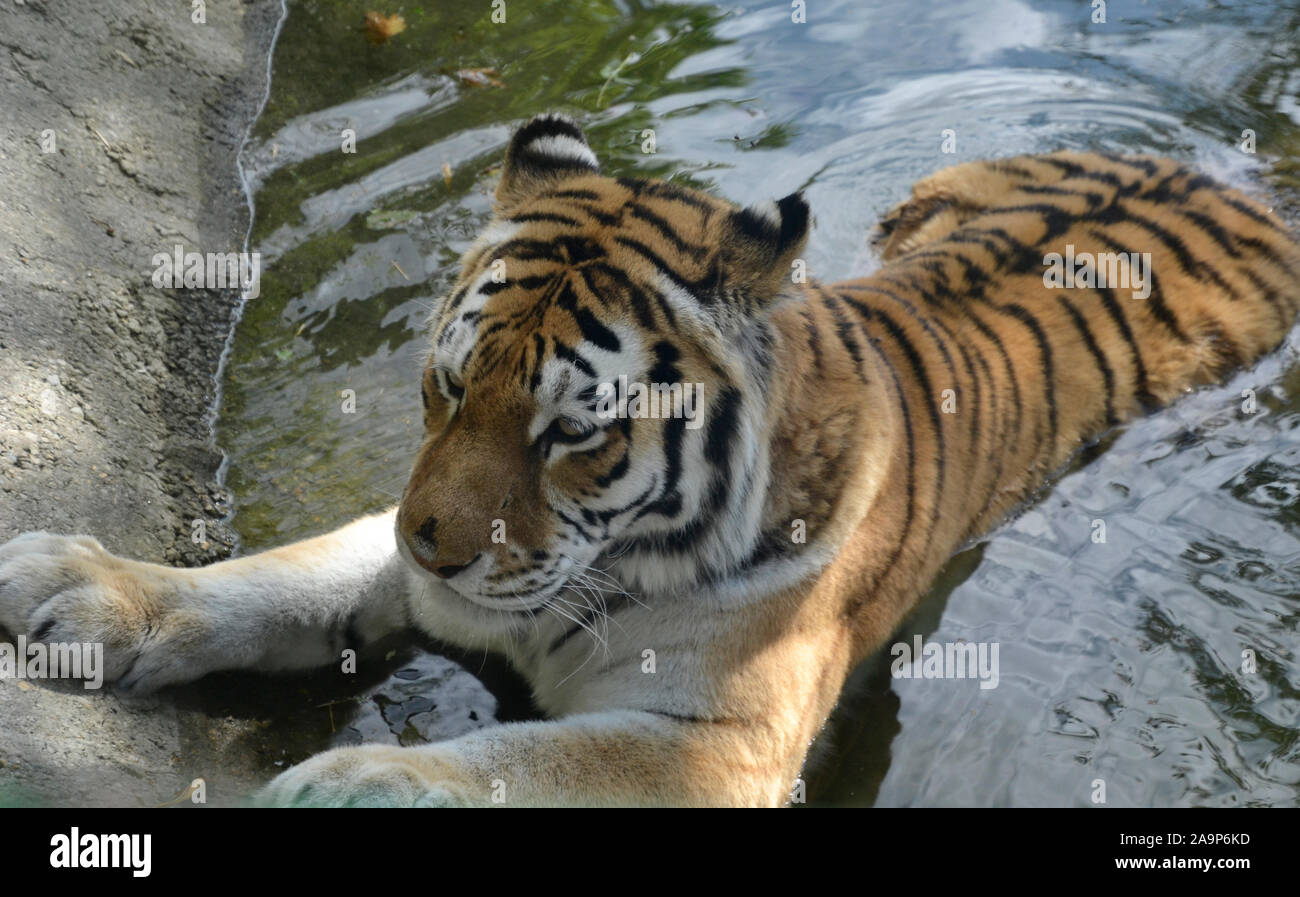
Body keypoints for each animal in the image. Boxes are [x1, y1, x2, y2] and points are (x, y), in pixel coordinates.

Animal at [1, 113, 1297, 807]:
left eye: (572, 432)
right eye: (450, 384)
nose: (436, 548)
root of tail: (1219, 172)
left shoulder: (716, 746)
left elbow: (534, 760)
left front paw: (353, 785)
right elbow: (276, 579)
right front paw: (78, 587)